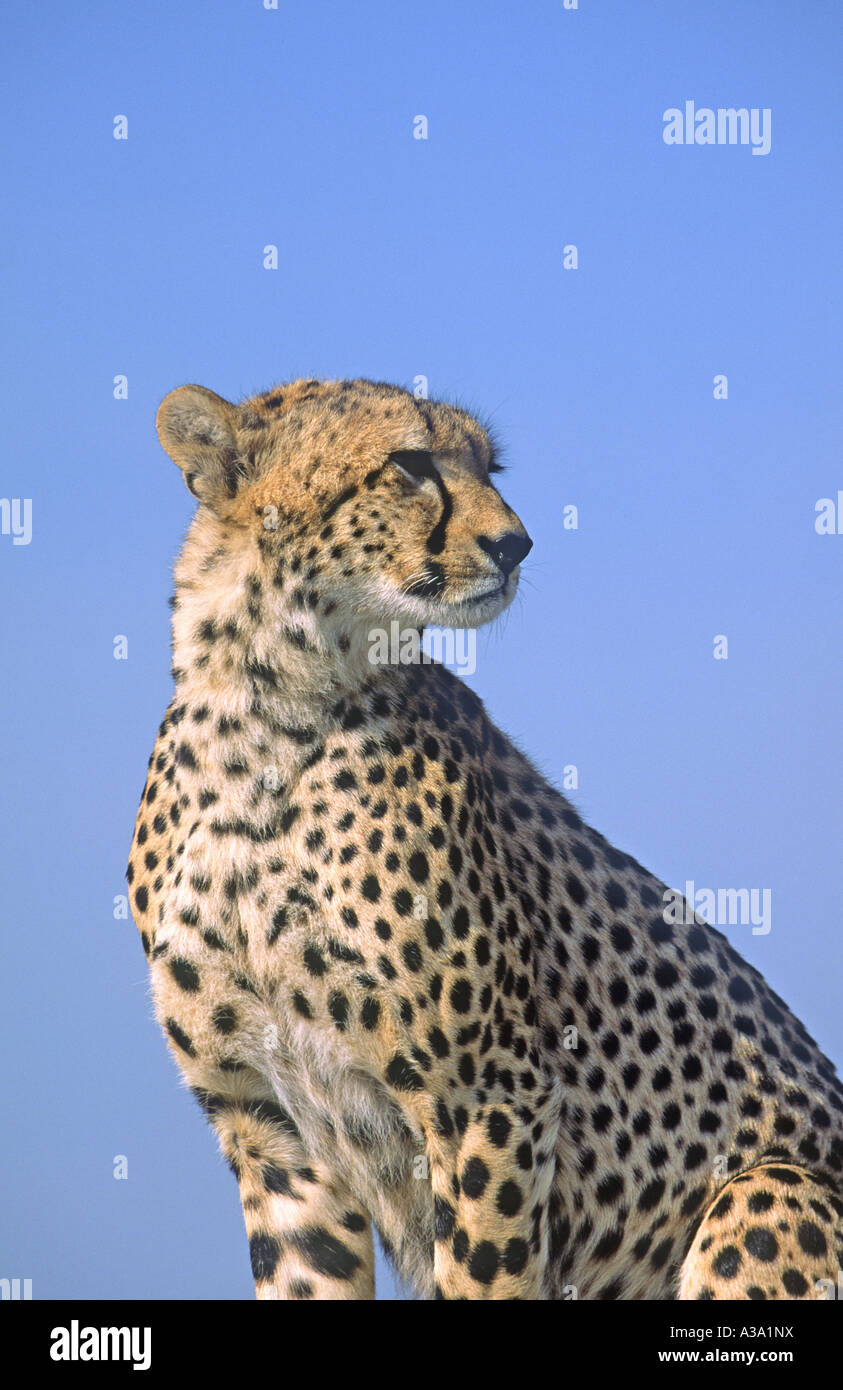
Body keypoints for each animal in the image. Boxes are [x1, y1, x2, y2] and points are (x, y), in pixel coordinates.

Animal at [127, 376, 843, 1300]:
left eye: (488, 467)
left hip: (768, 1185)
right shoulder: (267, 1130)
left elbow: (484, 1270)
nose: (515, 543)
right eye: (408, 462)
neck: (261, 716)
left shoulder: (488, 1097)